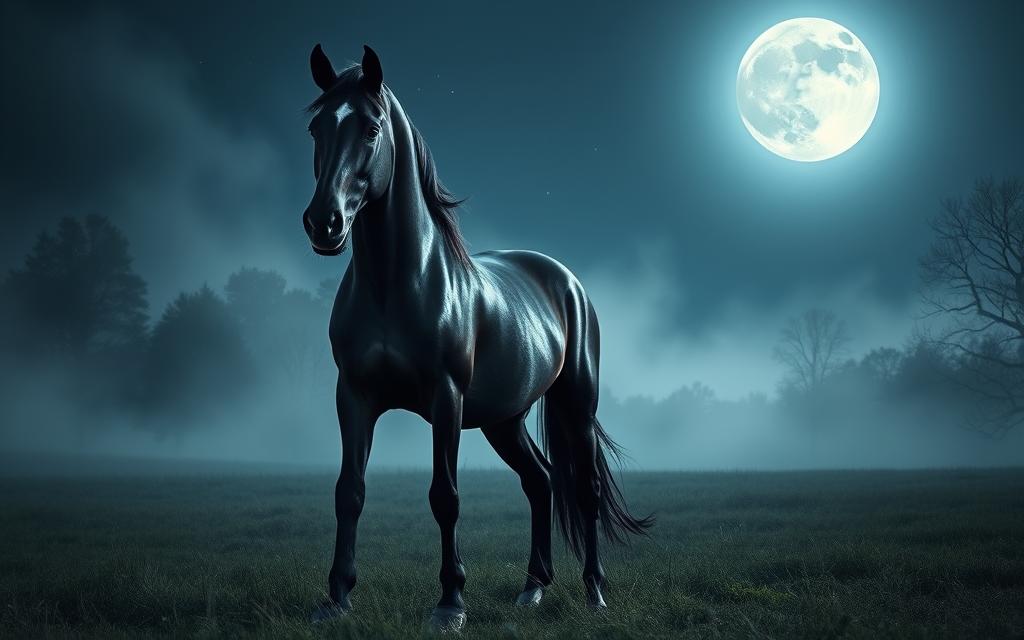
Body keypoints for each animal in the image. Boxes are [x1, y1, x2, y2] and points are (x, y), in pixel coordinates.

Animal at [302, 43, 653, 631]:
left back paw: (594, 593)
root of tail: (565, 279)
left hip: (575, 402)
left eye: (372, 128)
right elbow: (348, 491)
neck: (397, 282)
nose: (323, 223)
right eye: (315, 128)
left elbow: (445, 496)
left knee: (583, 488)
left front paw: (450, 604)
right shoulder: (352, 395)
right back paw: (533, 588)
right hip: (502, 419)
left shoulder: (446, 399)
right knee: (541, 479)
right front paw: (336, 598)